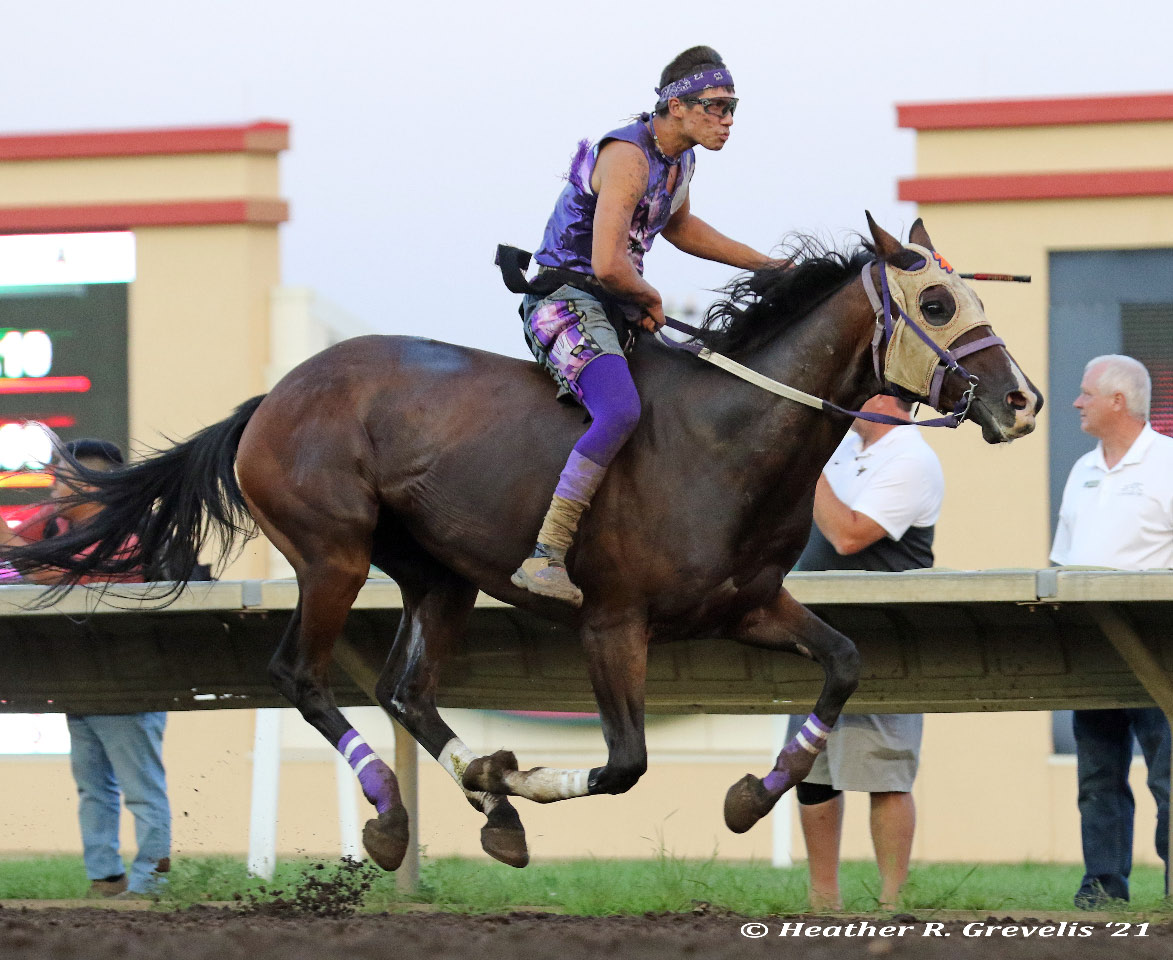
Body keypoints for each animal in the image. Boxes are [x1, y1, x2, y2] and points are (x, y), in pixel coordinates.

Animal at [3, 214, 1041, 872]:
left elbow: (845, 662)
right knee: (304, 675)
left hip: (439, 576)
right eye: (938, 305)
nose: (1020, 400)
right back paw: (398, 812)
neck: (728, 435)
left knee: (406, 690)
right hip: (333, 553)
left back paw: (486, 797)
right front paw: (526, 777)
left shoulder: (747, 606)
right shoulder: (612, 624)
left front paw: (750, 795)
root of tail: (271, 398)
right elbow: (623, 765)